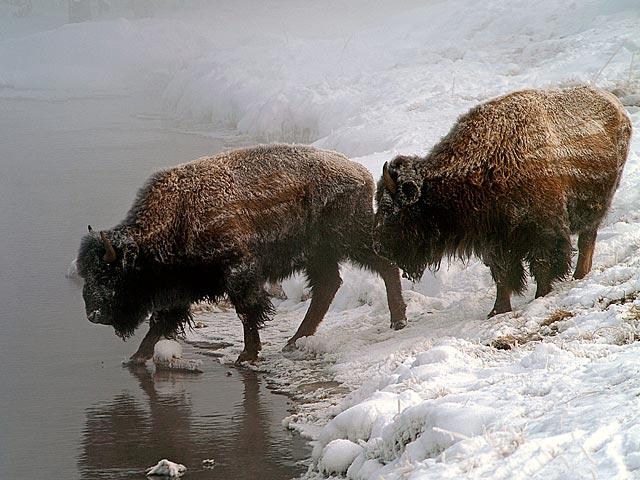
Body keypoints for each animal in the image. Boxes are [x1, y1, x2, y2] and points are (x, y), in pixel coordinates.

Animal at [78, 144, 407, 364]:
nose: (94, 315)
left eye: (109, 276)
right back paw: (294, 341)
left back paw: (397, 321)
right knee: (328, 287)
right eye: (85, 275)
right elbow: (160, 322)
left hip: (349, 240)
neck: (177, 218)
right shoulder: (178, 290)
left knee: (384, 267)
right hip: (320, 255)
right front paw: (135, 358)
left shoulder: (239, 272)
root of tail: (361, 173)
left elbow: (247, 312)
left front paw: (246, 355)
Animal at [374, 85, 631, 317]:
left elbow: (541, 264)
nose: (379, 247)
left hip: (595, 207)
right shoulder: (494, 241)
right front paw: (497, 310)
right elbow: (502, 275)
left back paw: (579, 275)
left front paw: (541, 295)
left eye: (391, 209)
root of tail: (617, 106)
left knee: (587, 239)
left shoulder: (542, 230)